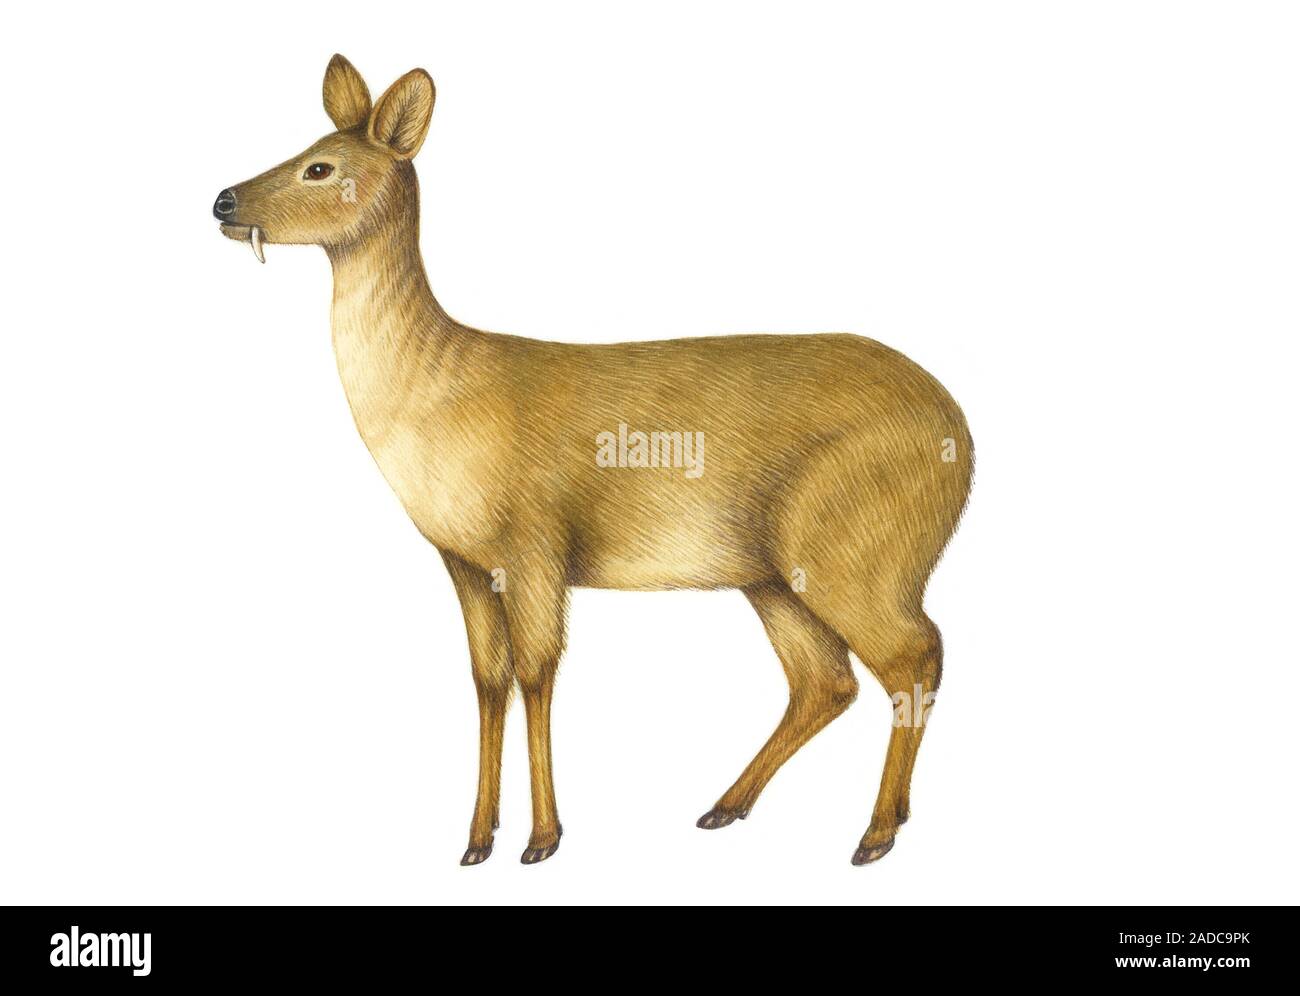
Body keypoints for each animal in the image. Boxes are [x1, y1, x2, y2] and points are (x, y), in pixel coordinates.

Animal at [214, 55, 973, 867]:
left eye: (319, 166)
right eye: (304, 147)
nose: (222, 199)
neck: (439, 395)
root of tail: (961, 432)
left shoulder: (535, 542)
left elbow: (537, 673)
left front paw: (542, 839)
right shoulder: (464, 559)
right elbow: (487, 679)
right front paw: (477, 839)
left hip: (857, 546)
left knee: (915, 652)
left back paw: (876, 831)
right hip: (772, 572)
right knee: (827, 680)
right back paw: (730, 807)